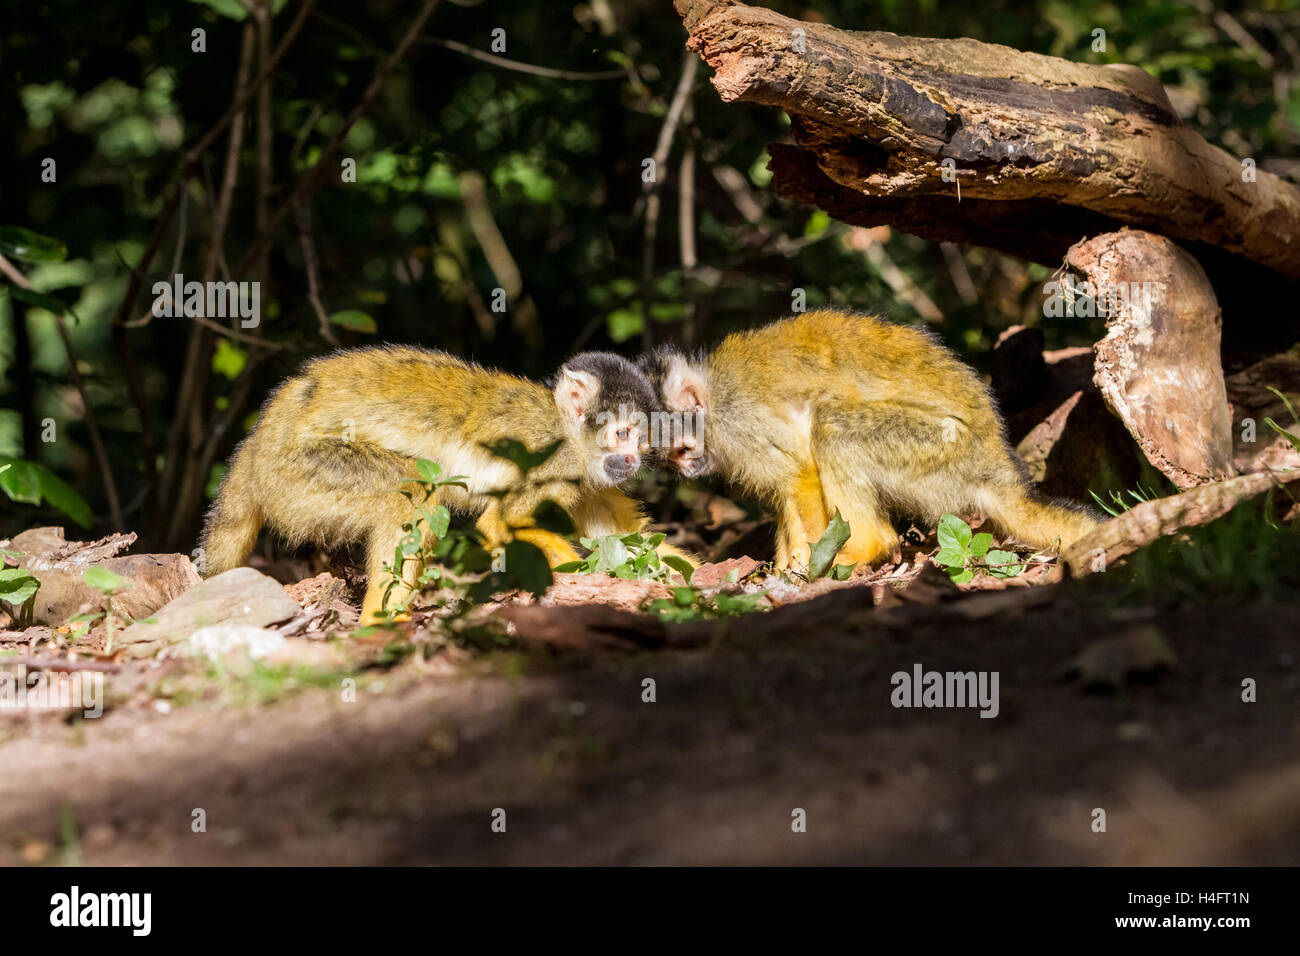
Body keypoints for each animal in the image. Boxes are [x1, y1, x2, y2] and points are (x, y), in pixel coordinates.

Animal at [200, 346, 689, 623]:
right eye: (621, 434)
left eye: (641, 441)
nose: (631, 459)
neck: (569, 432)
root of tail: (255, 446)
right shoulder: (554, 457)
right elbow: (499, 524)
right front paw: (576, 573)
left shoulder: (587, 476)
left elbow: (620, 539)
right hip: (299, 477)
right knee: (410, 492)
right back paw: (381, 620)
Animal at [640, 310, 1101, 571]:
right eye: (672, 458)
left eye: (683, 449)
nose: (687, 468)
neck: (713, 398)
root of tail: (997, 465)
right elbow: (787, 490)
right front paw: (784, 564)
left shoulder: (740, 420)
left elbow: (799, 476)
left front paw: (804, 563)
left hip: (944, 449)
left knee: (834, 429)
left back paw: (866, 545)